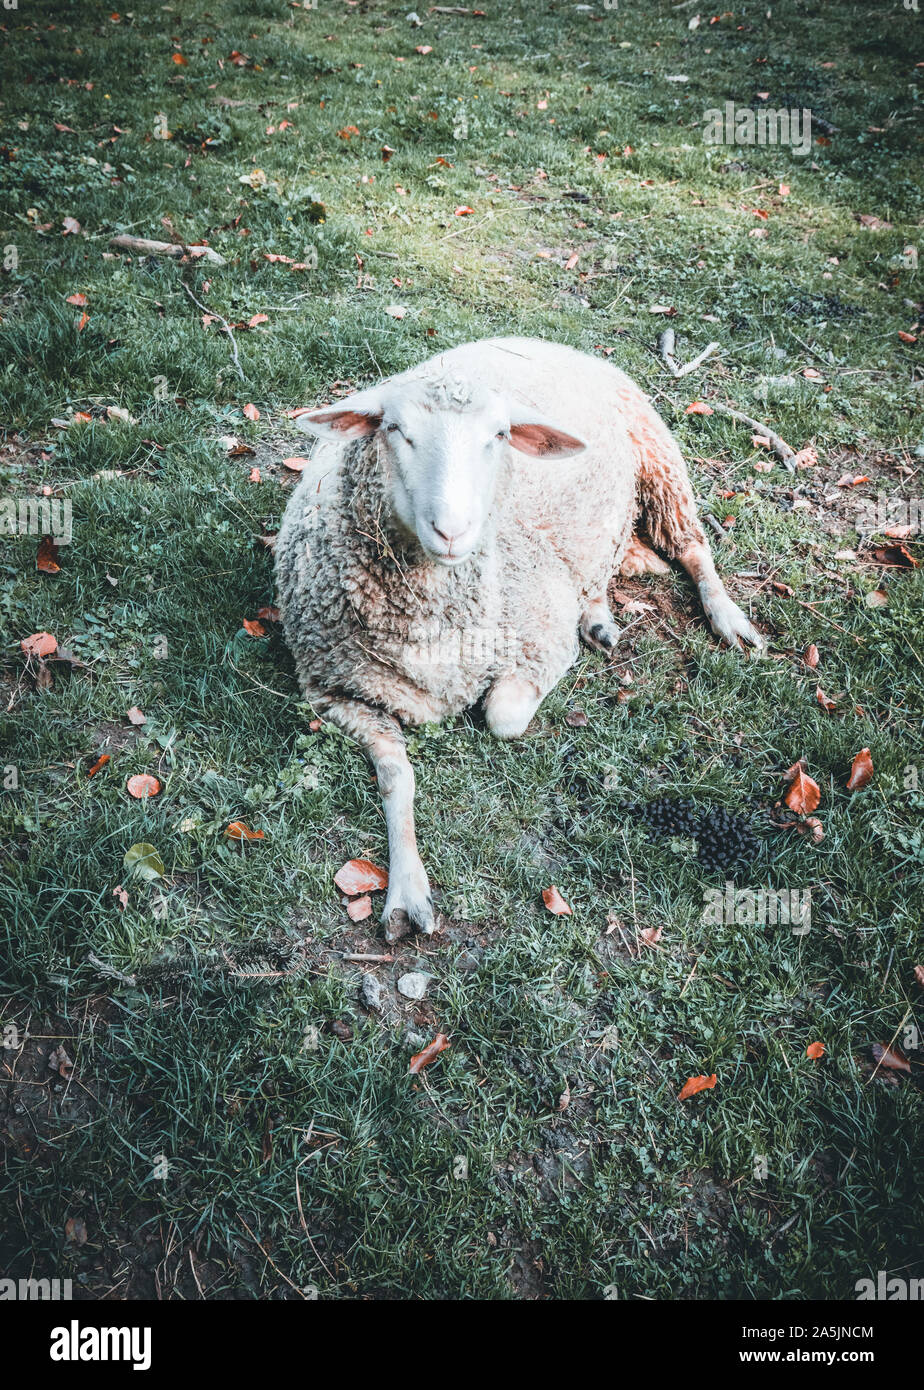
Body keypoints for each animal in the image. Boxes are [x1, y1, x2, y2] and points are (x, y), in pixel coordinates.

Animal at [274, 336, 763, 938]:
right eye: (395, 429)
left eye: (499, 436)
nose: (453, 531)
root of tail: (547, 342)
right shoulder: (333, 691)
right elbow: (395, 777)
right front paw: (406, 888)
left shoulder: (540, 639)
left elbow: (503, 718)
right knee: (602, 567)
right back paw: (599, 617)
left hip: (659, 460)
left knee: (693, 549)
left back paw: (727, 618)